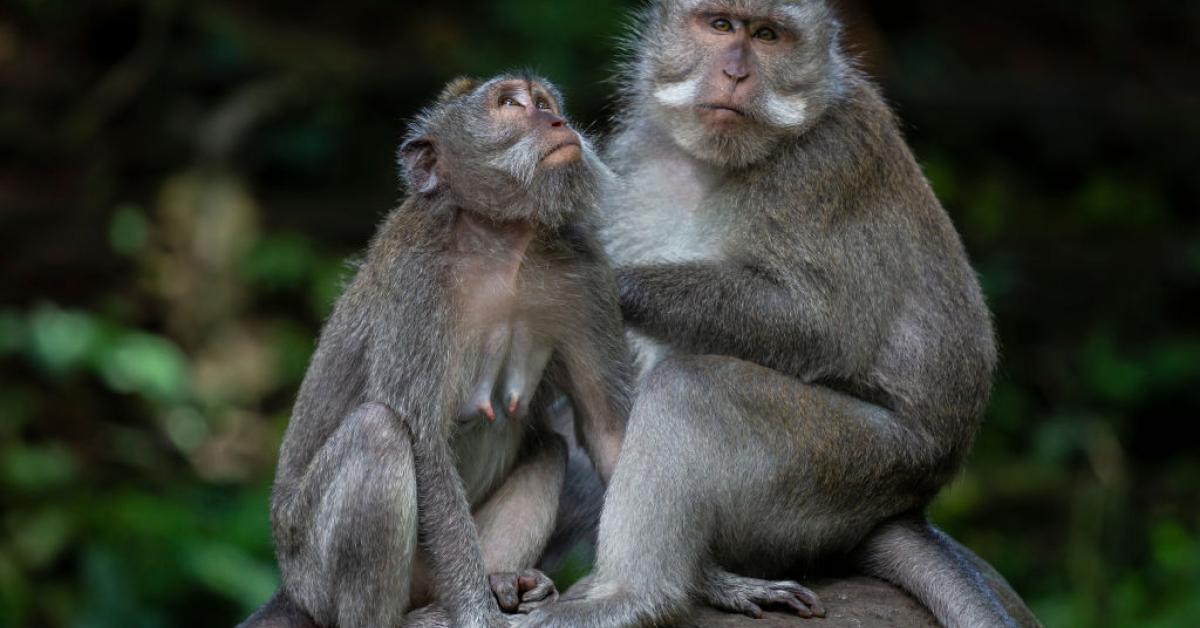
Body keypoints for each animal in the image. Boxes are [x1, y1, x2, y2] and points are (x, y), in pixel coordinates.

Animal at [238, 73, 630, 628]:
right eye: (510, 104)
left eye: (544, 102)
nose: (557, 121)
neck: (499, 245)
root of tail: (290, 589)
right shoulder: (417, 285)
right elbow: (423, 442)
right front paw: (477, 614)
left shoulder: (584, 267)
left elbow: (608, 429)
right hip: (313, 574)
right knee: (378, 433)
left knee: (549, 448)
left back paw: (501, 579)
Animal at [517, 2, 1037, 627]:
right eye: (720, 25)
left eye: (767, 35)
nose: (736, 74)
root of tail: (904, 506)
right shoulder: (638, 155)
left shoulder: (825, 166)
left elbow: (820, 327)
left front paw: (609, 282)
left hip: (848, 468)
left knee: (691, 390)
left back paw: (632, 598)